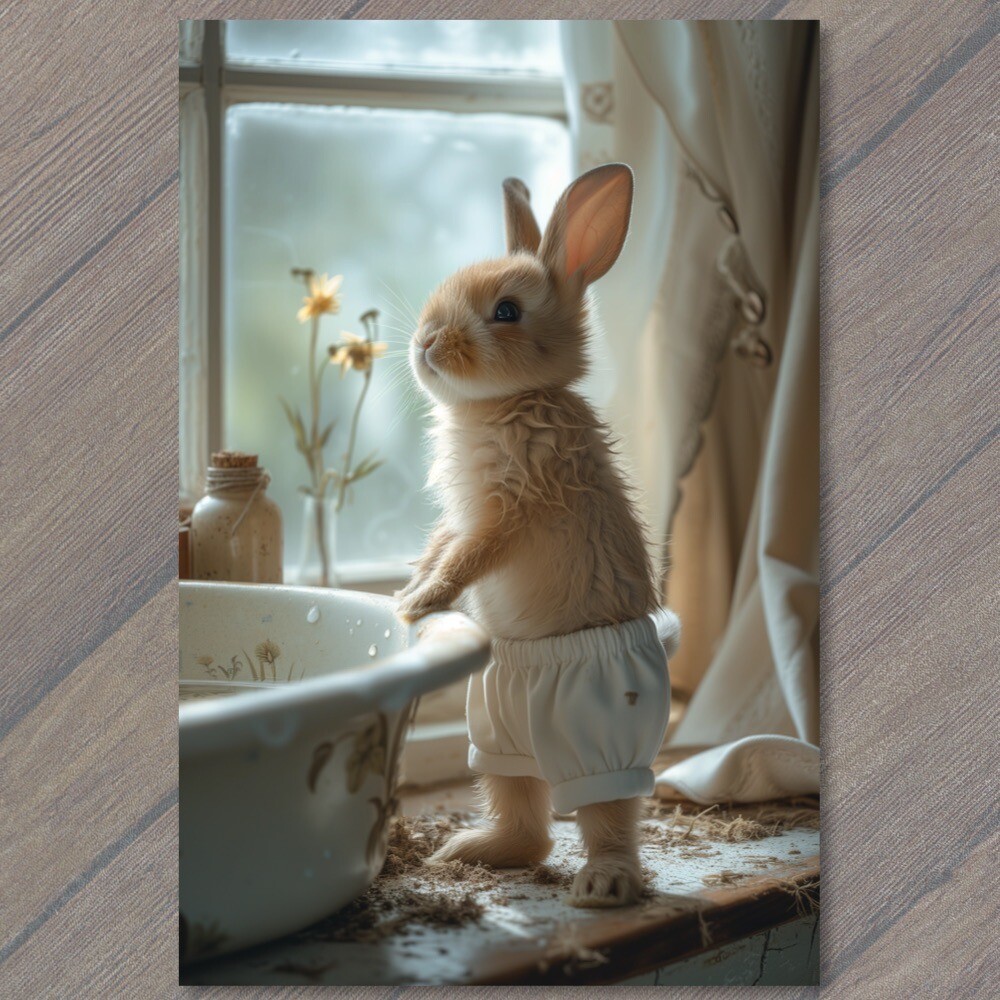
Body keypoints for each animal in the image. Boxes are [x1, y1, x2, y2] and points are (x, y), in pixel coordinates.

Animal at [396, 164, 668, 908]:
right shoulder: (461, 515)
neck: (502, 402)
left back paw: (604, 884)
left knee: (607, 815)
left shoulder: (508, 513)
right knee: (527, 817)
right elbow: (441, 544)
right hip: (493, 735)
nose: (425, 340)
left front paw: (421, 602)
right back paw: (471, 851)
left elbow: (467, 557)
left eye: (507, 313)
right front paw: (408, 591)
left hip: (602, 737)